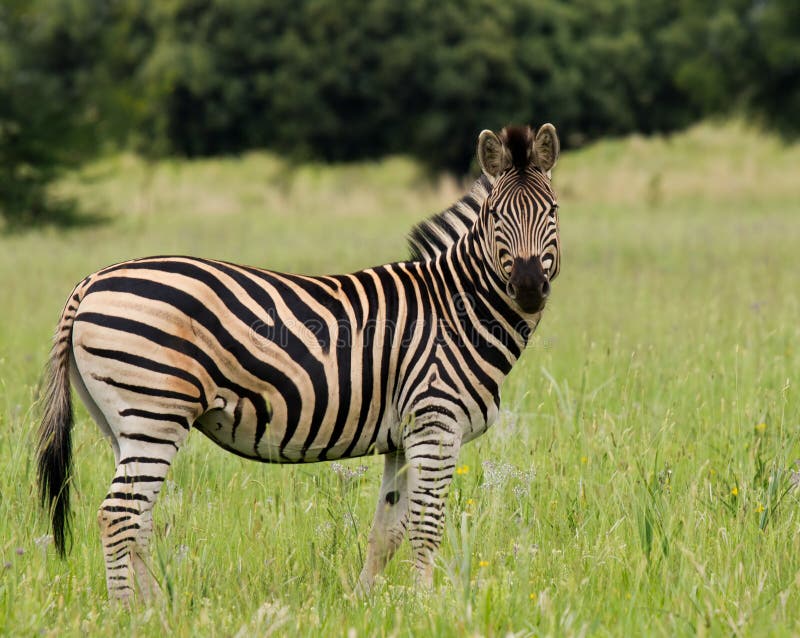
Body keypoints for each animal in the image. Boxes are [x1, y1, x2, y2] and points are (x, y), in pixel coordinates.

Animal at [37, 123, 560, 603]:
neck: (456, 307)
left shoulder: (403, 435)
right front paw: (426, 607)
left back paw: (159, 611)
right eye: (495, 215)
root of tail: (91, 281)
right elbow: (426, 525)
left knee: (137, 518)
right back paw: (128, 613)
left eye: (552, 211)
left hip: (124, 422)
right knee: (118, 516)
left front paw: (363, 605)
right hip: (156, 412)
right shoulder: (435, 423)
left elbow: (386, 530)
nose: (529, 288)